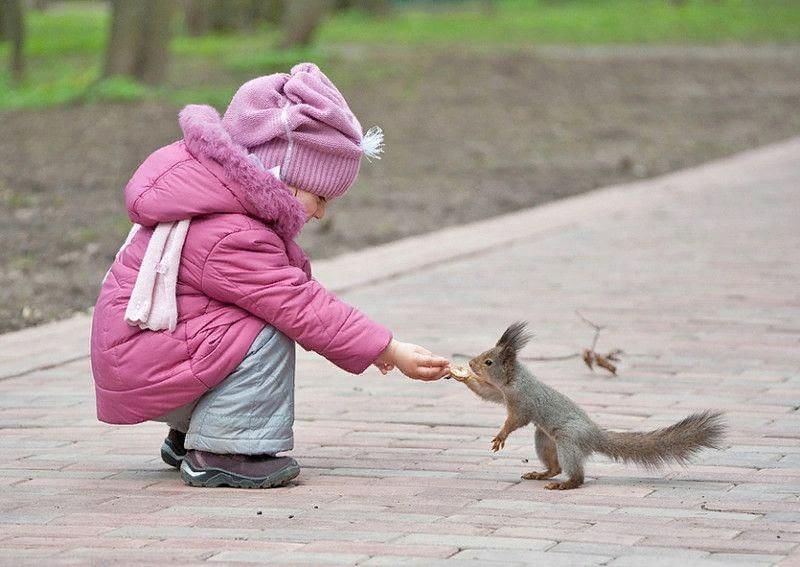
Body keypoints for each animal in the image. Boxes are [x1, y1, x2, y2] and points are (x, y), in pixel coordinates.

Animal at [450, 322, 724, 490]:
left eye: (489, 362)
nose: (470, 363)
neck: (513, 379)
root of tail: (595, 435)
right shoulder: (500, 393)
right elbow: (486, 393)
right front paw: (460, 376)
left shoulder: (521, 401)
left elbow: (515, 420)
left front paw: (501, 435)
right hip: (545, 438)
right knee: (555, 466)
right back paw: (542, 474)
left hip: (568, 440)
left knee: (577, 475)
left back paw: (565, 484)